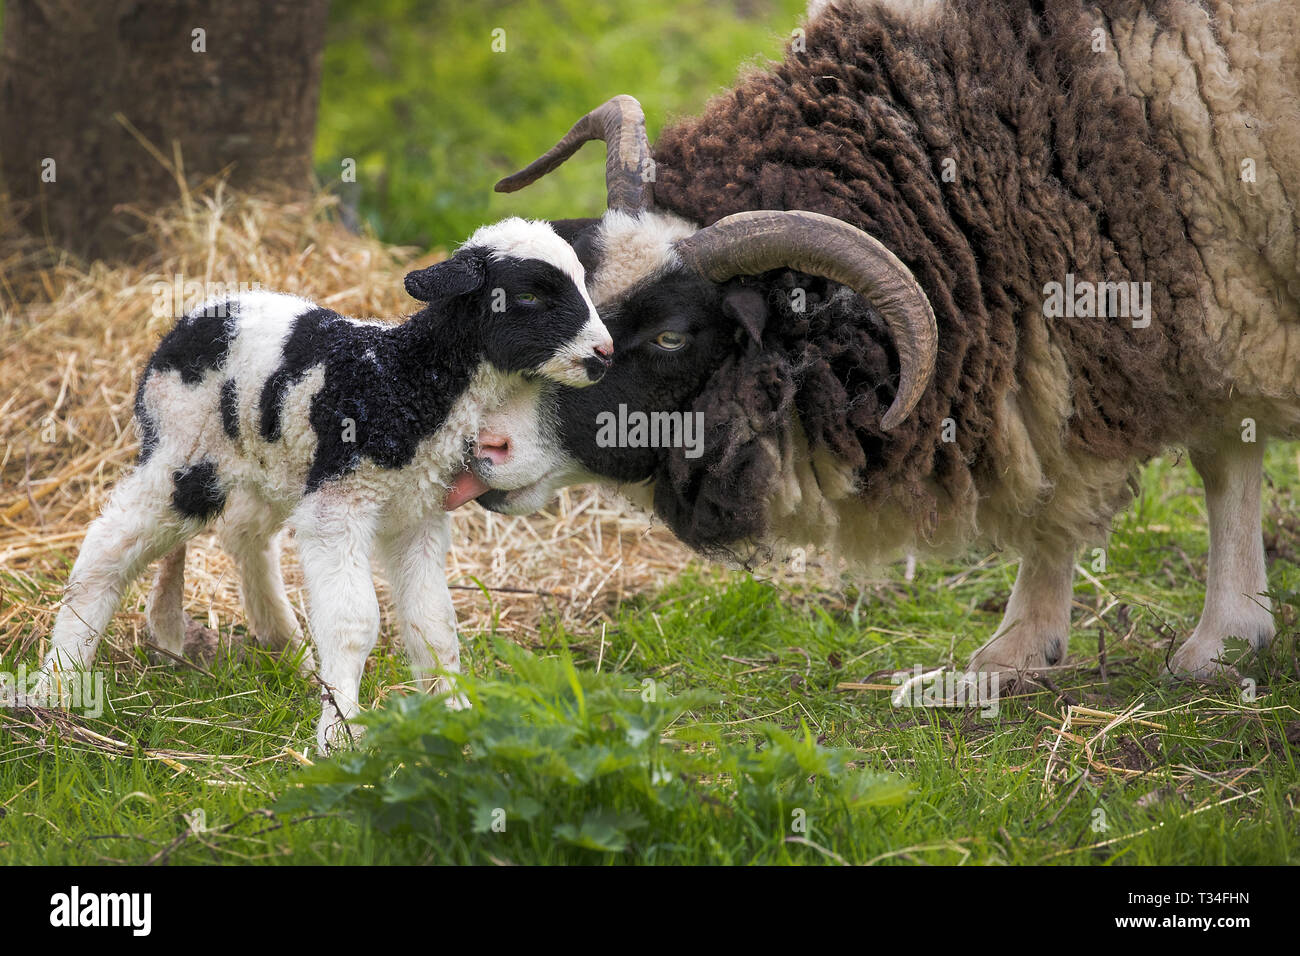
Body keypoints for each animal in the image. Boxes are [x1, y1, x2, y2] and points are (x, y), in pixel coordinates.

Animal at [32, 217, 613, 750]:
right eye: (531, 295)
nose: (604, 355)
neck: (409, 378)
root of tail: (188, 321)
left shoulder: (416, 513)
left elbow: (433, 625)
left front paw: (456, 715)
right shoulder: (341, 503)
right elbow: (353, 622)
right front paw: (341, 734)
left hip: (275, 465)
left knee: (243, 534)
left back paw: (290, 651)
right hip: (185, 453)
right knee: (106, 547)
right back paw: (55, 689)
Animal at [477, 0, 1300, 683]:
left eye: (672, 337)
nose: (484, 448)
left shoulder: (1217, 287)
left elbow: (1221, 452)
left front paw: (1221, 639)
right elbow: (1061, 479)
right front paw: (1020, 650)